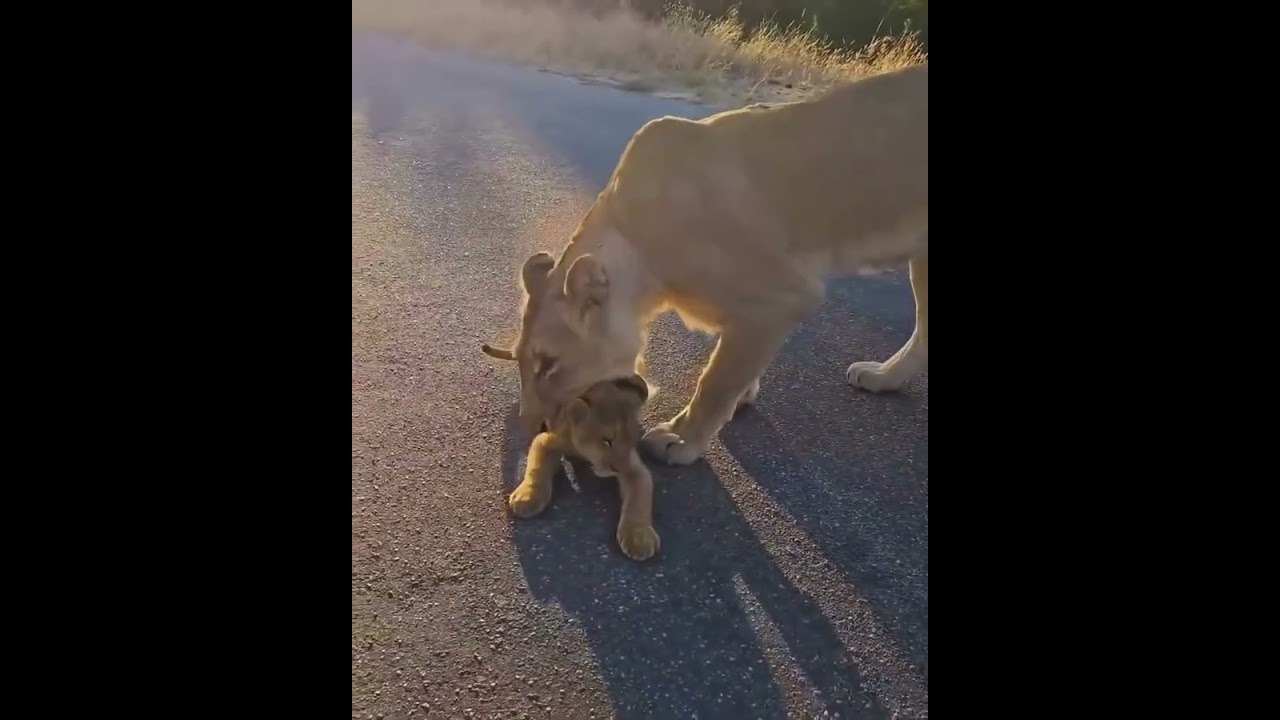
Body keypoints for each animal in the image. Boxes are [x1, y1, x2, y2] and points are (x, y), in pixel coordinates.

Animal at [482, 343, 660, 561]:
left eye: (631, 440)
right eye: (607, 440)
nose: (619, 467)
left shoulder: (634, 466)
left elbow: (639, 498)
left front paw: (639, 538)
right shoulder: (547, 439)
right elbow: (536, 467)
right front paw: (527, 498)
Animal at [501, 63, 927, 466]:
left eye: (548, 363)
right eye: (521, 362)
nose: (531, 427)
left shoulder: (785, 295)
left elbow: (716, 380)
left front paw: (681, 439)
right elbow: (733, 364)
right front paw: (743, 394)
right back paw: (882, 377)